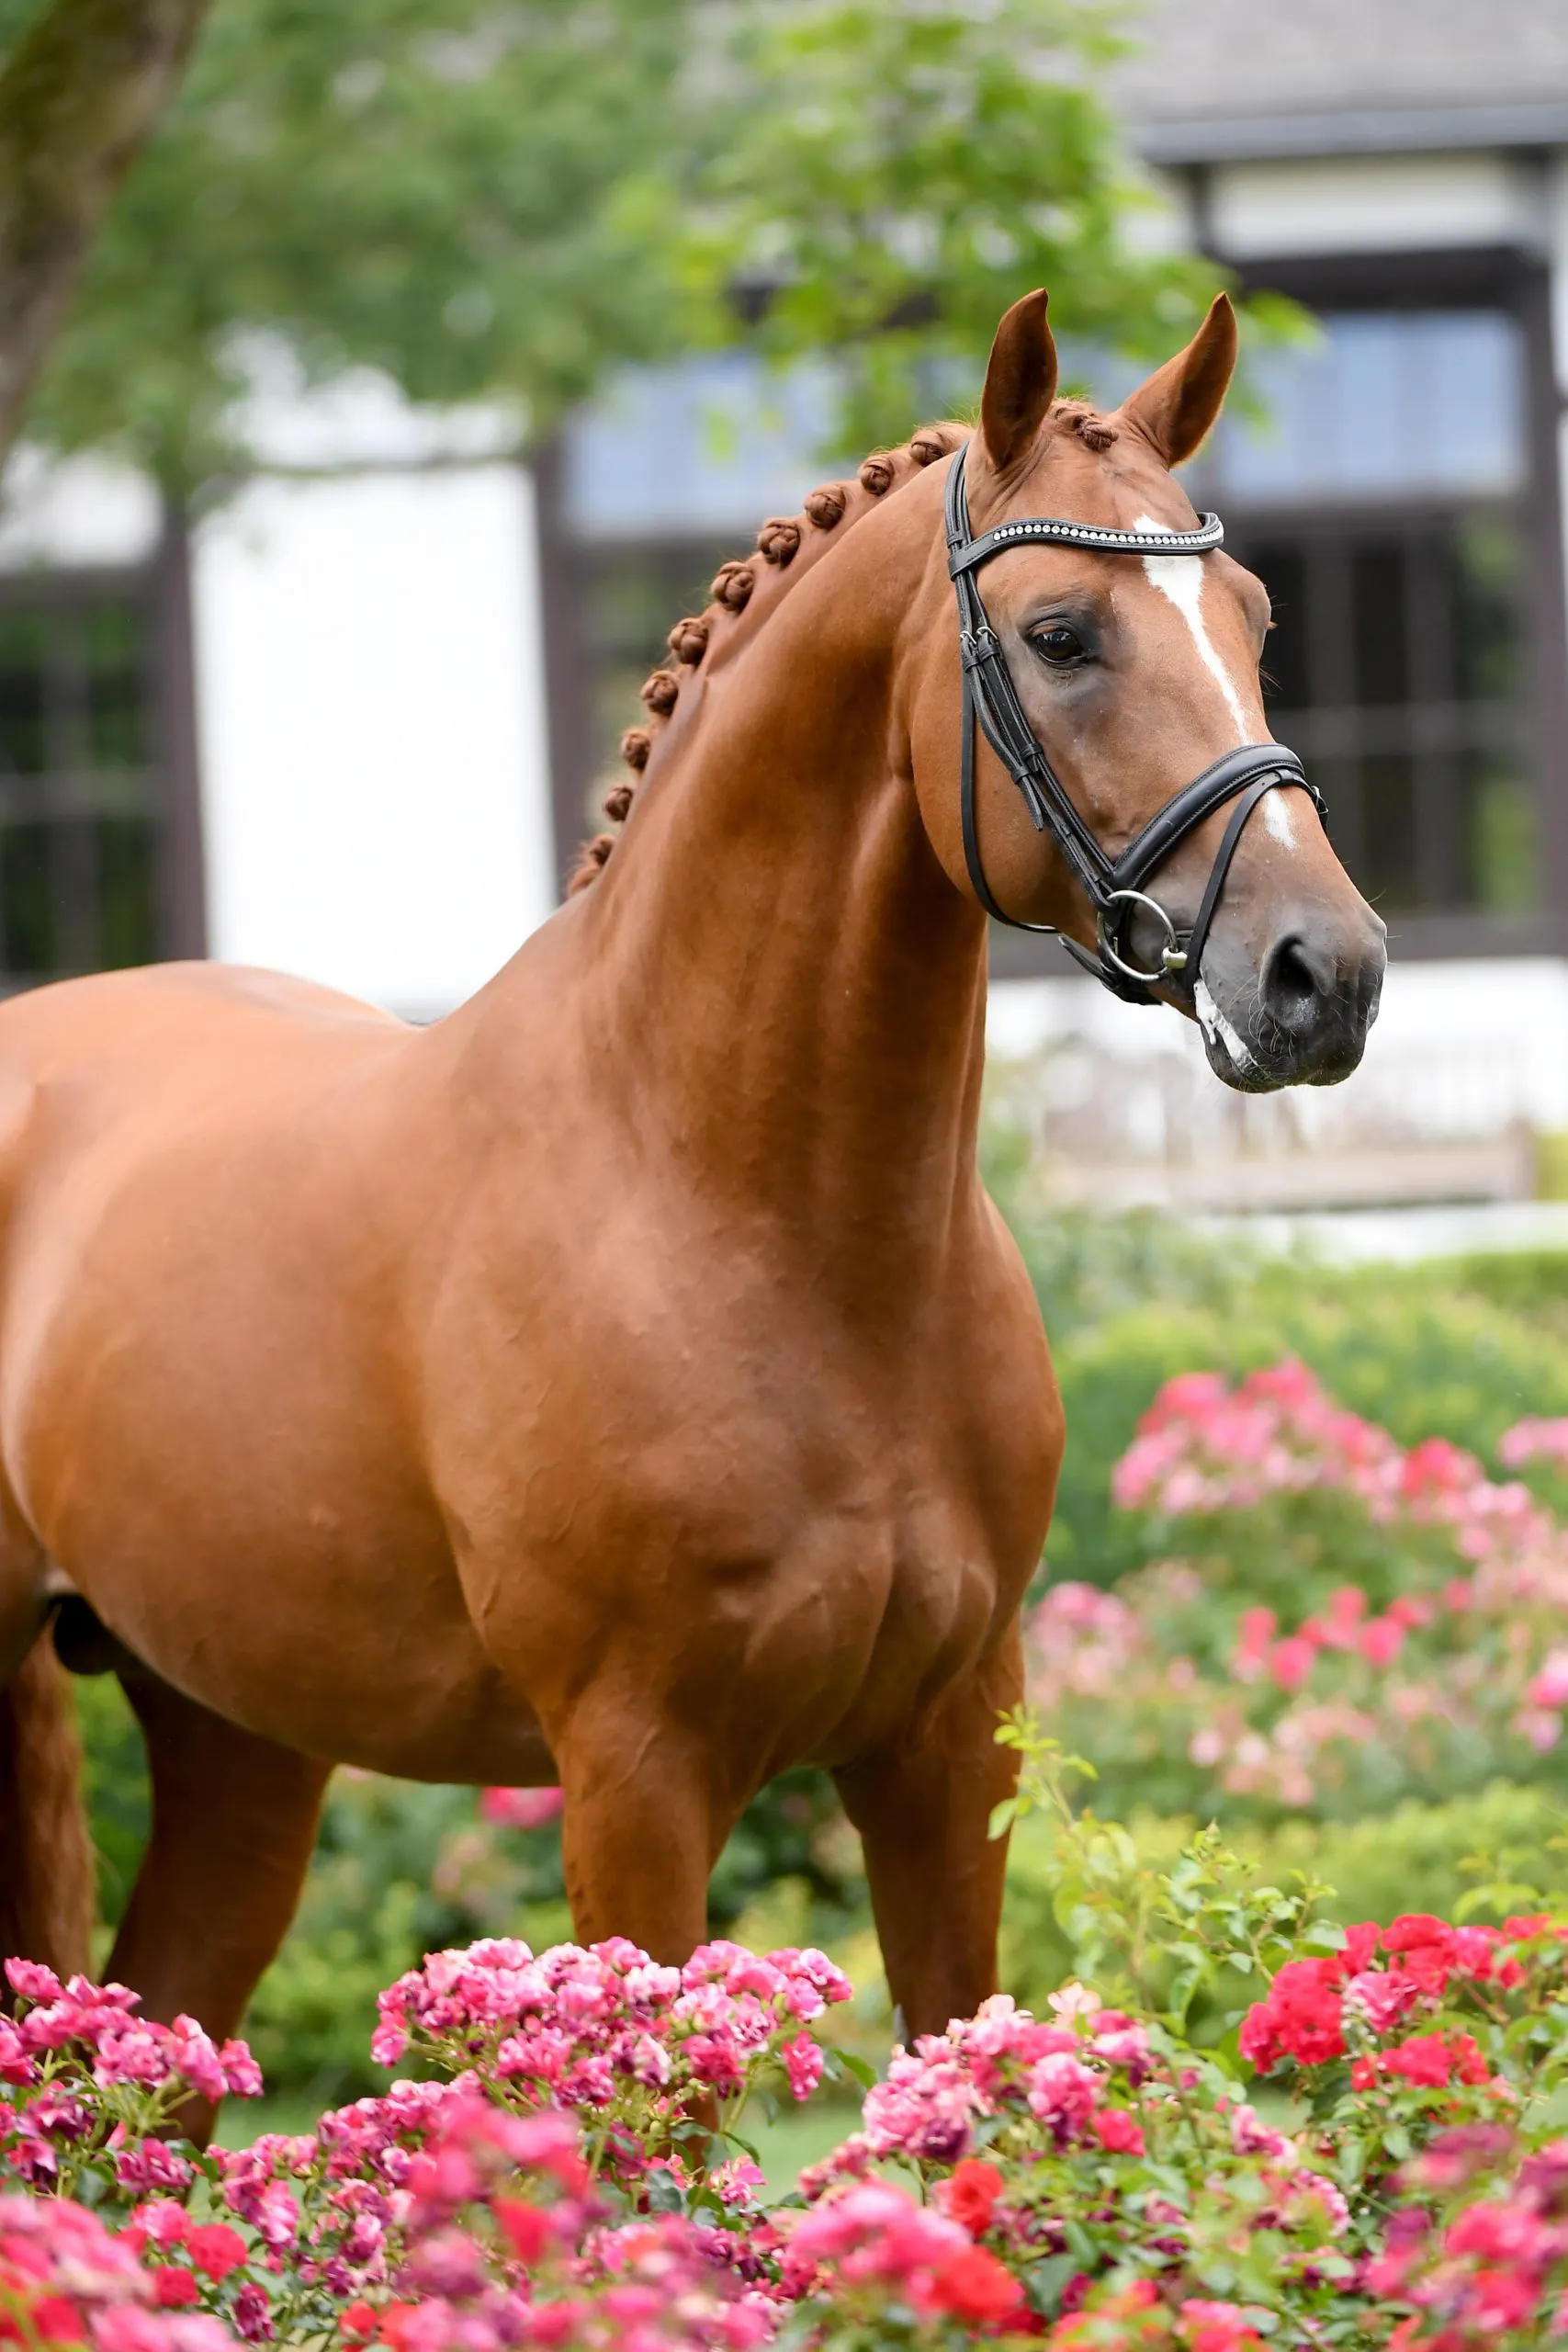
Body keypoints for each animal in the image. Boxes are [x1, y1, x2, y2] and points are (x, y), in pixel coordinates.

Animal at [0, 288, 1384, 2127]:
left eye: (1250, 614)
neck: (736, 1211)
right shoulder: (635, 1773)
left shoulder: (945, 1747)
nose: (1322, 973)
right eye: (1062, 633)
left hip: (241, 1736)